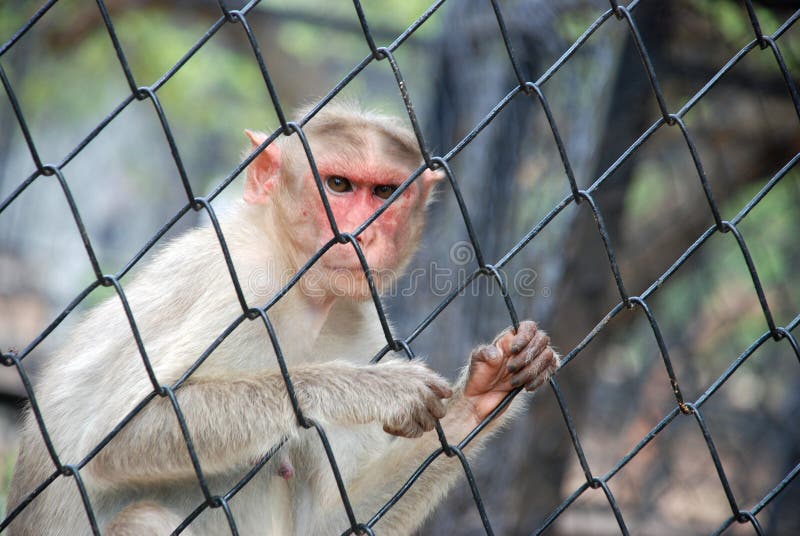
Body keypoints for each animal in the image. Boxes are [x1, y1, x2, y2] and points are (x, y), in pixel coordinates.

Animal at [5, 103, 560, 535]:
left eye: (384, 193)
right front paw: (374, 390)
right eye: (337, 185)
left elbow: (334, 522)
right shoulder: (244, 285)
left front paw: (488, 388)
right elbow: (122, 436)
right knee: (146, 516)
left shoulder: (356, 320)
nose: (362, 231)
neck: (300, 284)